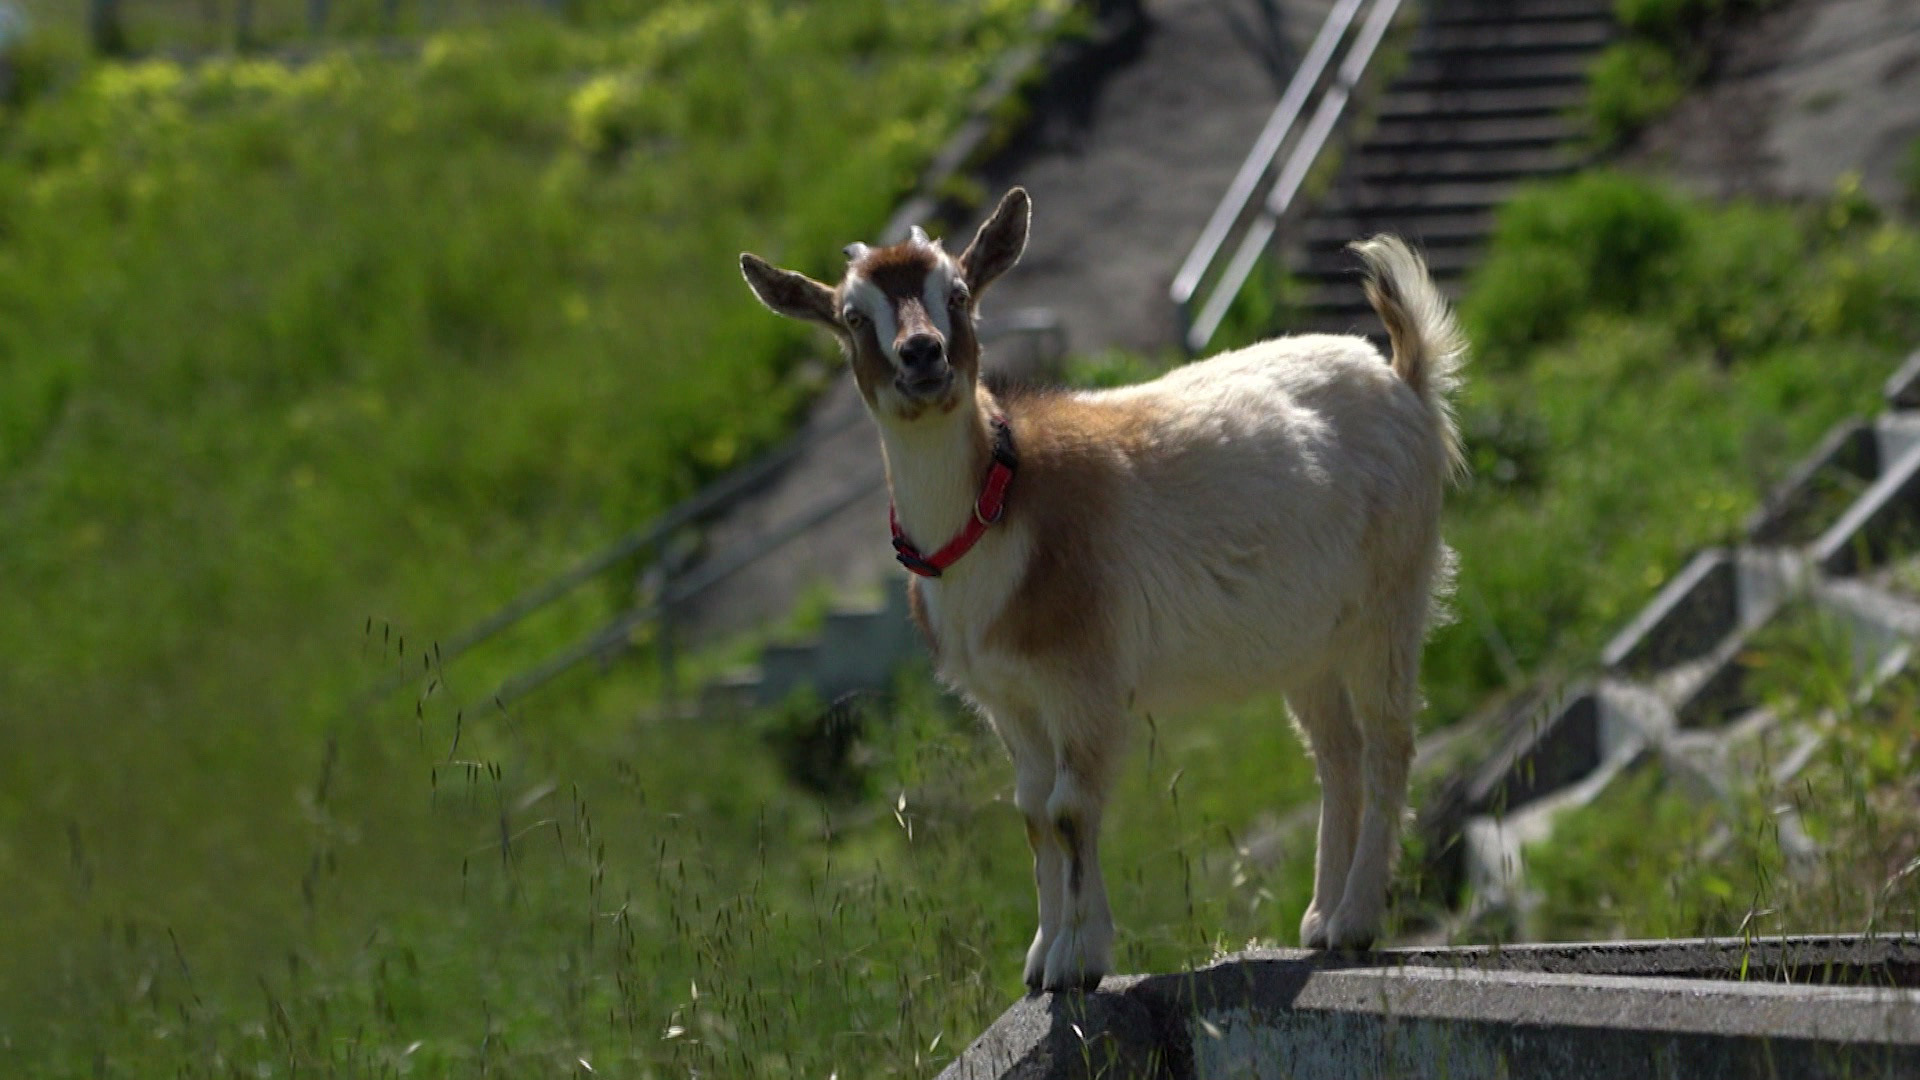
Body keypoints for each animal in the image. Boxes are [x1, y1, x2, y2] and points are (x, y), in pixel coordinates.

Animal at [740, 187, 1465, 992]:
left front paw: (1077, 960)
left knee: (1388, 742)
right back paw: (1319, 921)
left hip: (1390, 599)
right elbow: (1030, 813)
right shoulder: (1008, 699)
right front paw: (1038, 959)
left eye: (957, 293)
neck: (998, 505)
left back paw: (1358, 919)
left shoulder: (1082, 679)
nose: (921, 353)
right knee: (1336, 754)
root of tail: (1403, 378)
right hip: (1308, 643)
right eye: (852, 317)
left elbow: (1067, 809)